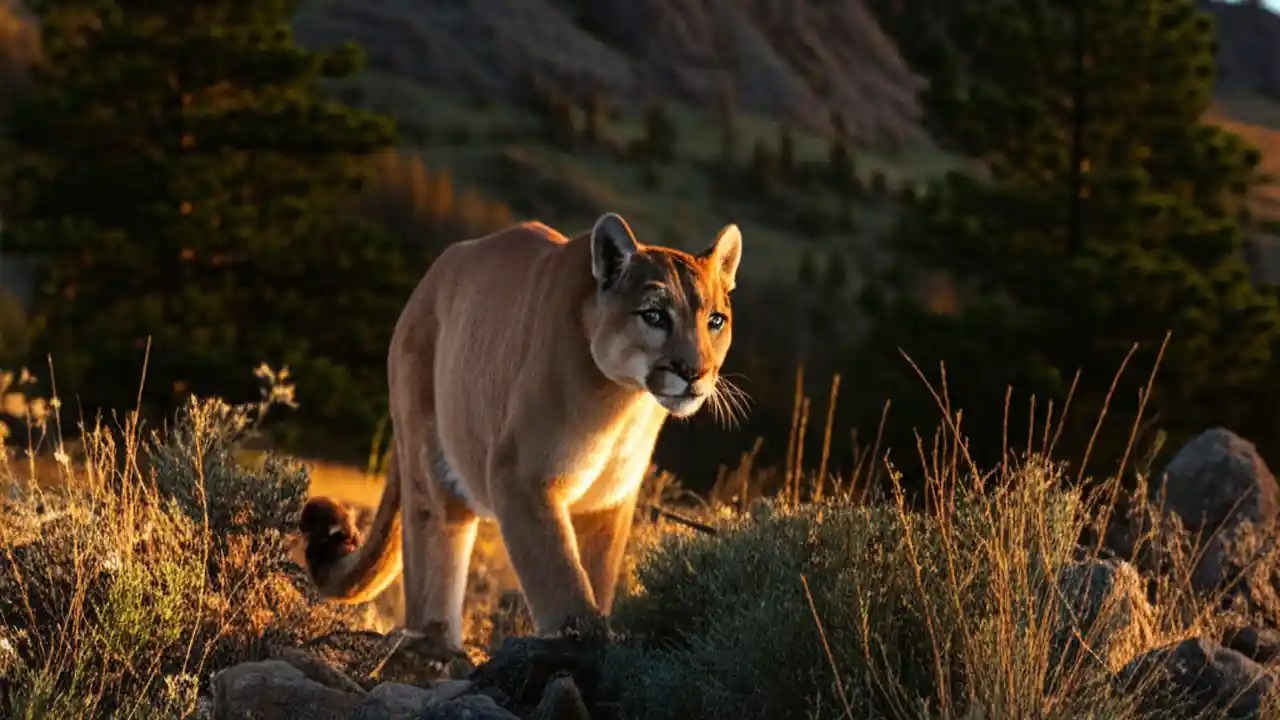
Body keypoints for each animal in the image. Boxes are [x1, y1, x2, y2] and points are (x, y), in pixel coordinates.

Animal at [300, 213, 743, 651]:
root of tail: (427, 281)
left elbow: (597, 573)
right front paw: (585, 639)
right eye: (654, 315)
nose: (694, 373)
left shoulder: (608, 500)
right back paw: (436, 646)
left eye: (715, 320)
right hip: (428, 451)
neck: (624, 402)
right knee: (433, 540)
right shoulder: (521, 474)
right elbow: (556, 572)